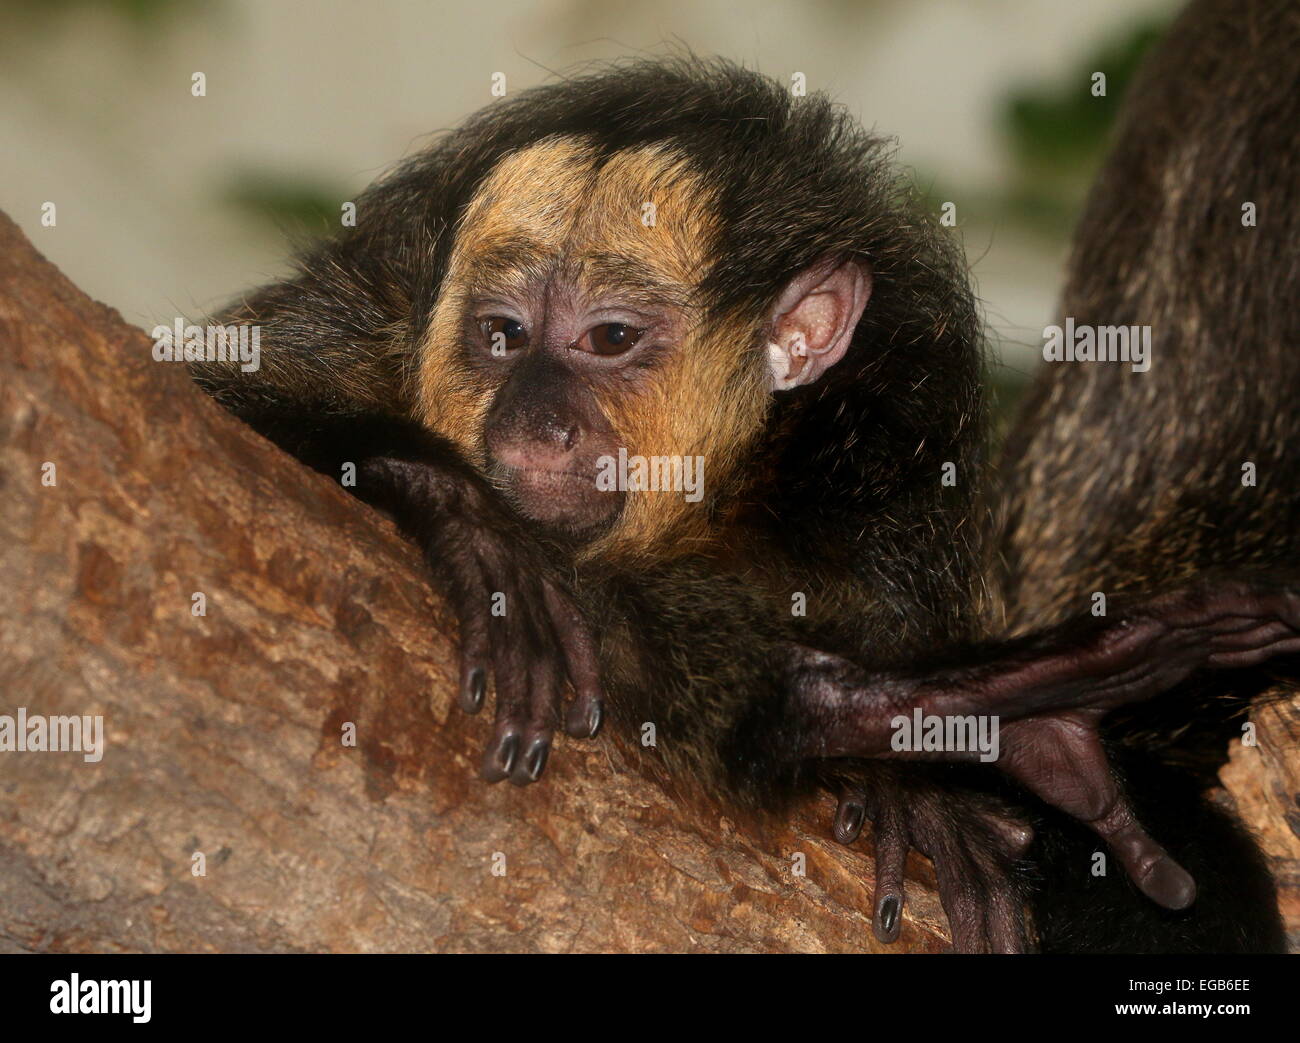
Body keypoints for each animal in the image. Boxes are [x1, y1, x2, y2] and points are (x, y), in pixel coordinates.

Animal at [187, 39, 1298, 952]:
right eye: (503, 335)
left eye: (608, 339)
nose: (532, 422)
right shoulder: (366, 307)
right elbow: (216, 401)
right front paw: (464, 520)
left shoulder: (890, 473)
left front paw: (910, 771)